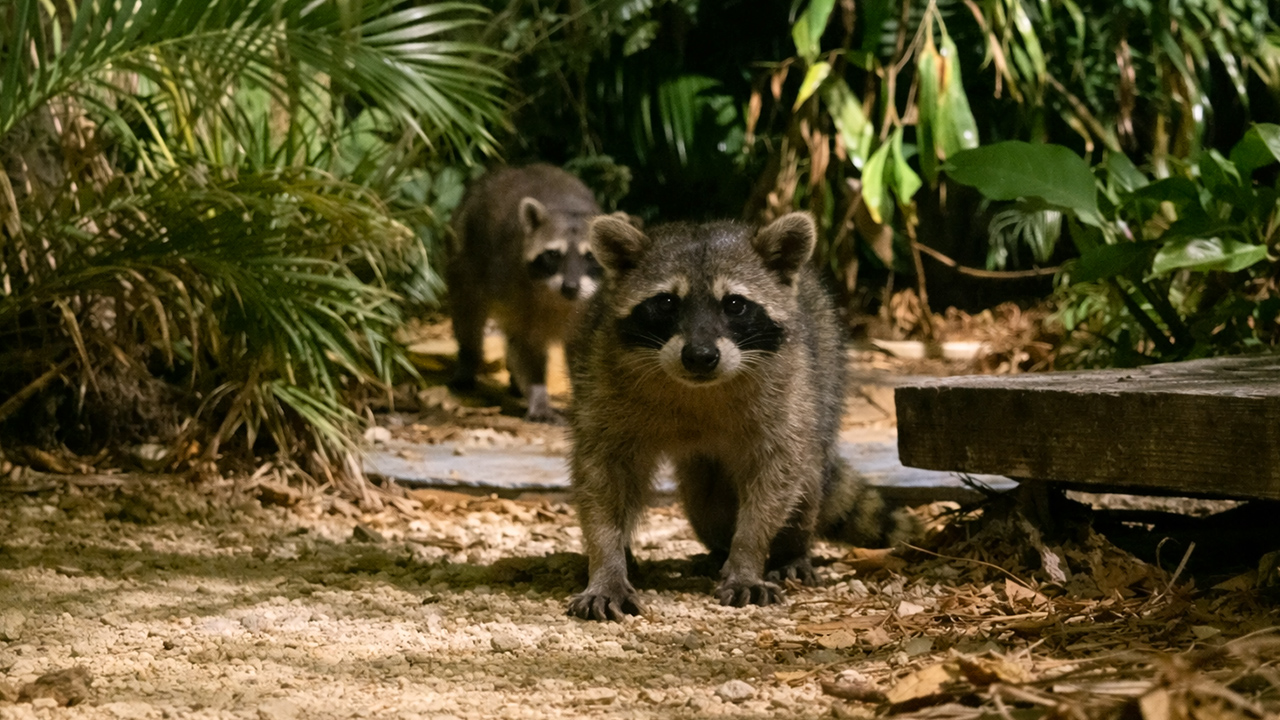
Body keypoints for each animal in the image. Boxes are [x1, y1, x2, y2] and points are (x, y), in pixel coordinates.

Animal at [446, 164, 605, 422]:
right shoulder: (515, 293)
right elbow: (526, 349)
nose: (570, 287)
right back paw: (468, 360)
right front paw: (538, 395)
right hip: (462, 255)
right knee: (467, 316)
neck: (560, 301)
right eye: (553, 255)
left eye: (590, 256)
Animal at [565, 212, 916, 621]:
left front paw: (749, 558)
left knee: (805, 482)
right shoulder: (601, 382)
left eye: (734, 304)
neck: (697, 389)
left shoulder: (787, 391)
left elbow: (774, 478)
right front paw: (607, 563)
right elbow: (602, 478)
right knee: (707, 505)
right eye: (666, 302)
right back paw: (709, 550)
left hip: (823, 382)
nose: (700, 356)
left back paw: (790, 551)